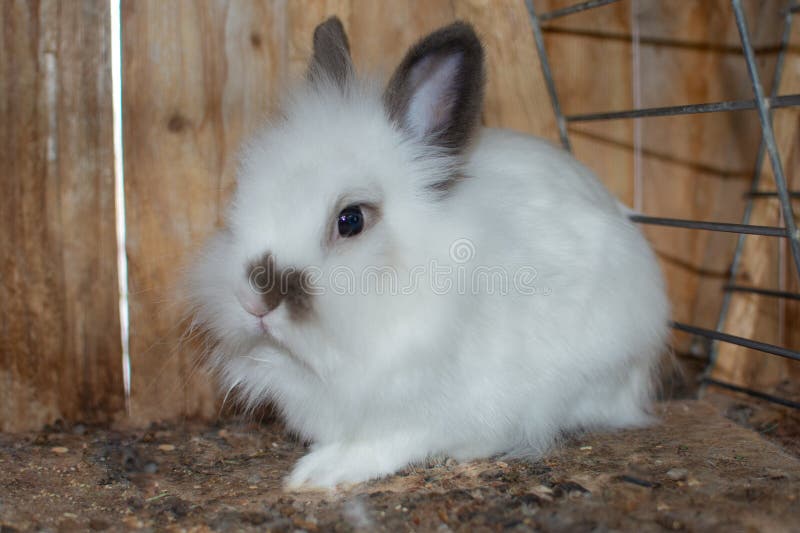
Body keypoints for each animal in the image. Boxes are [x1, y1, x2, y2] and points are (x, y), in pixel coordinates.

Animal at [187, 17, 670, 490]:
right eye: (241, 200)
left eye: (350, 220)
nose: (253, 300)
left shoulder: (439, 403)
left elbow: (391, 441)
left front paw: (320, 472)